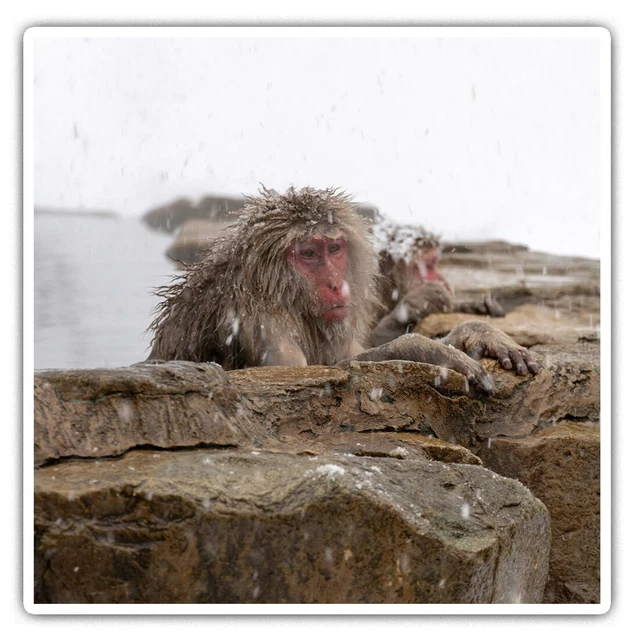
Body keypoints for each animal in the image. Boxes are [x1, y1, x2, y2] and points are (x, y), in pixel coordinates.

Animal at [147, 187, 539, 392]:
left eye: (334, 248)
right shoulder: (261, 323)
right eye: (308, 253)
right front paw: (427, 350)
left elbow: (354, 351)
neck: (277, 290)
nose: (338, 283)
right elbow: (302, 373)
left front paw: (474, 330)